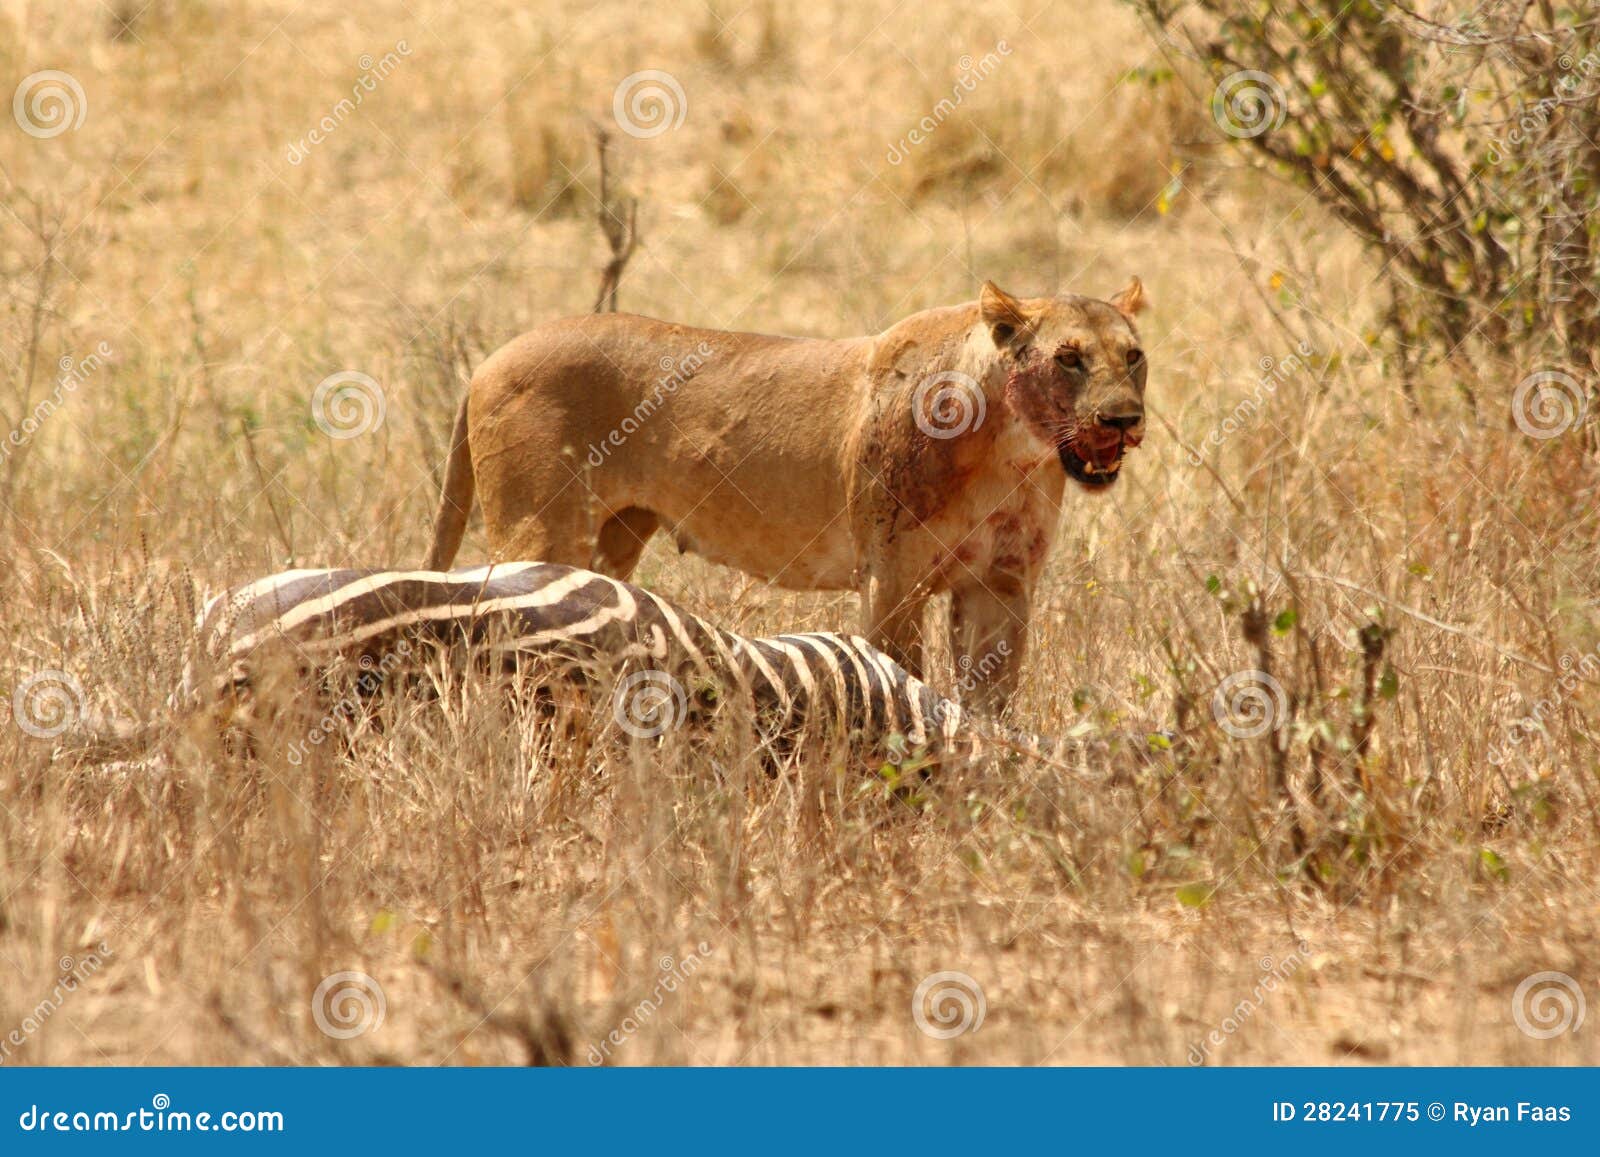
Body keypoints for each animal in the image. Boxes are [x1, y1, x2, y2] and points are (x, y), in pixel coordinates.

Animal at [424, 278, 1148, 711]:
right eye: (1069, 358)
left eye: (1133, 355)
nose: (1123, 418)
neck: (1011, 453)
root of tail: (486, 363)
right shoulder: (892, 578)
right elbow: (901, 676)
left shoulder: (1001, 584)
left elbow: (992, 701)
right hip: (540, 530)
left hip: (618, 535)